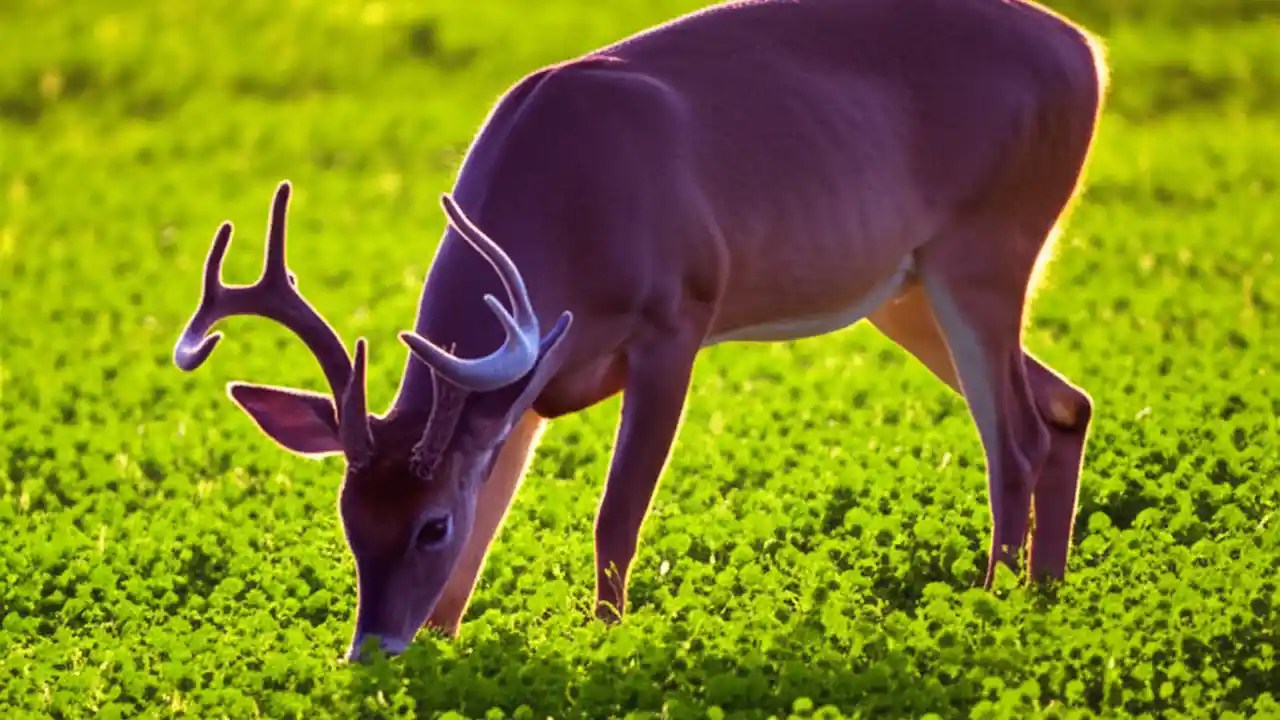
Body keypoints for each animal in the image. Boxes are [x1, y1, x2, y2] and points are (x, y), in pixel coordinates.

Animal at [174, 0, 1105, 660]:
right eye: (348, 517)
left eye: (428, 524)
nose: (369, 652)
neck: (571, 200)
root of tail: (1087, 52)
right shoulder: (520, 388)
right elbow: (483, 544)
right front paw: (443, 653)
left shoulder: (677, 320)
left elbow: (615, 519)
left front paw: (605, 643)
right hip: (904, 291)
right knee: (1068, 406)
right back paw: (1048, 599)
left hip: (986, 243)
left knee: (1015, 436)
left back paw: (995, 606)